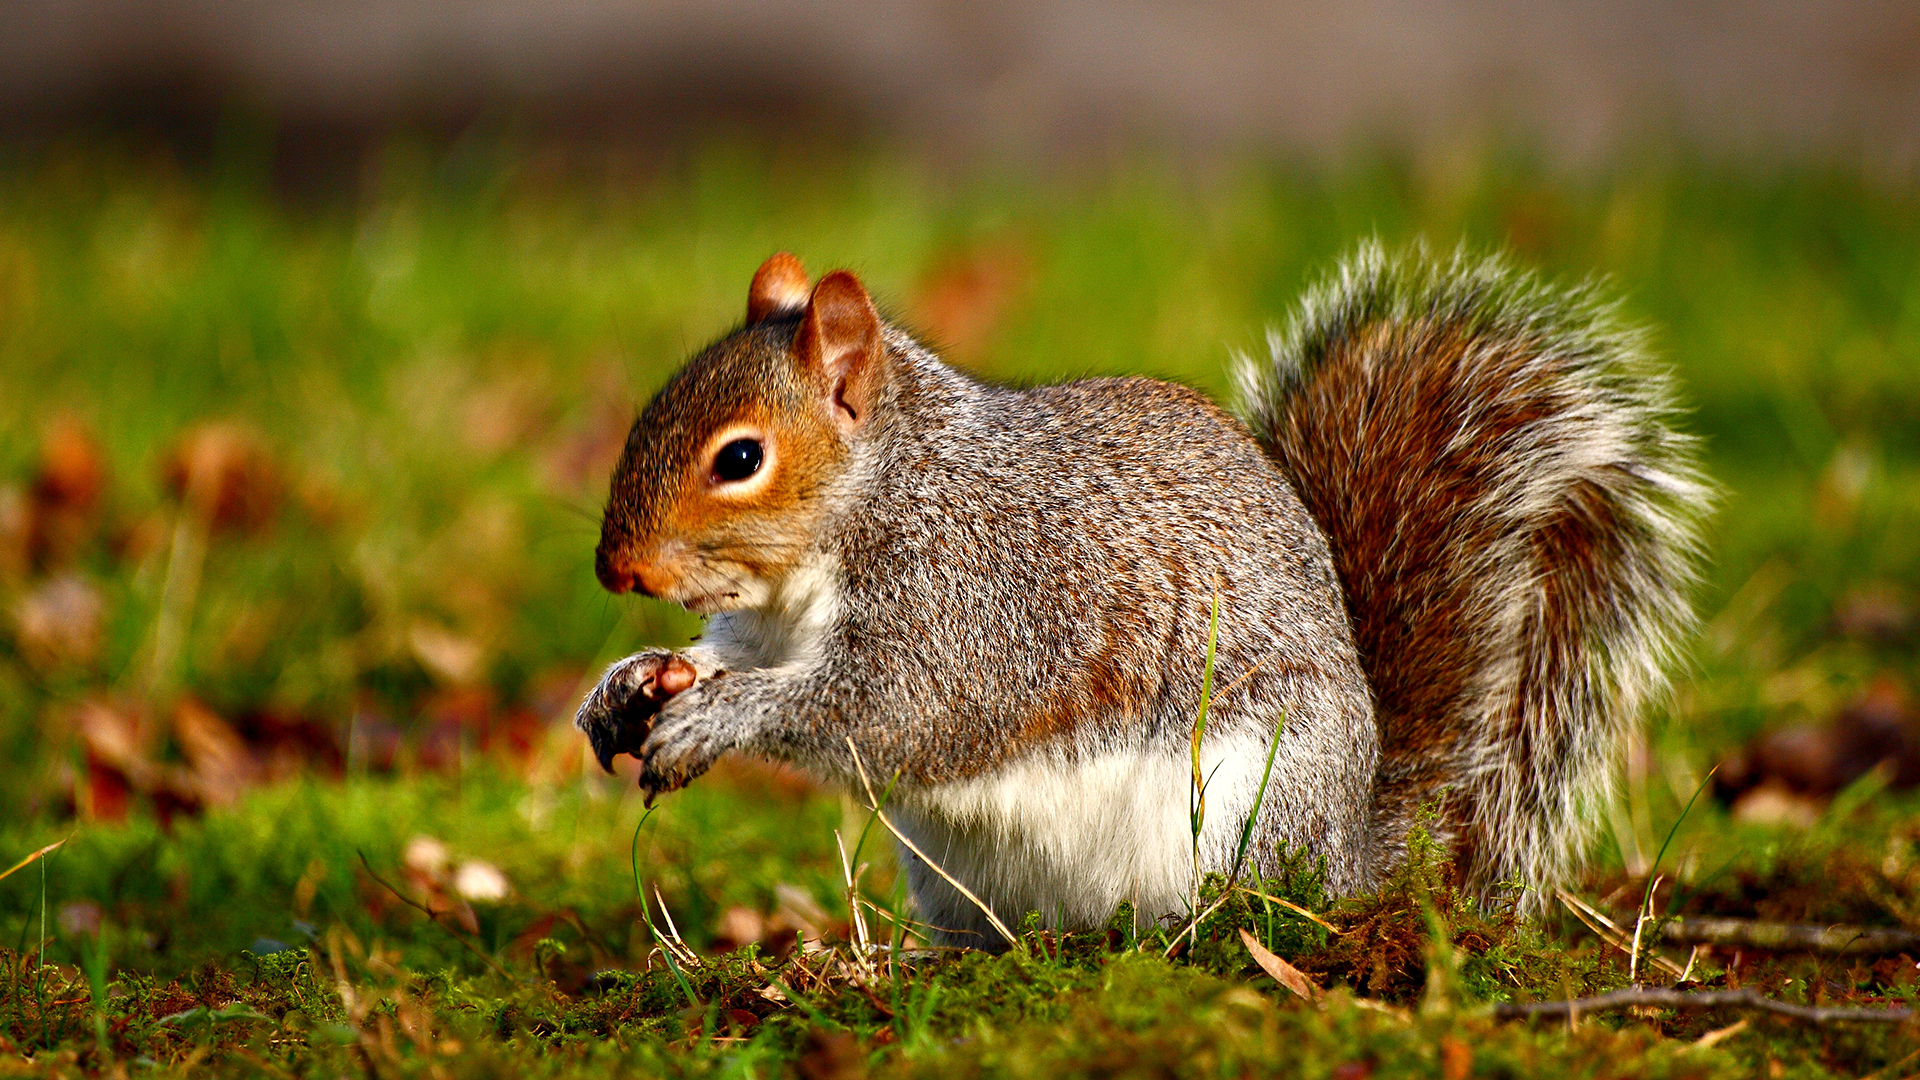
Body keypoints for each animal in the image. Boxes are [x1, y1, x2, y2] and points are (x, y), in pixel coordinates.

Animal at [575, 243, 1710, 948]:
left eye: (741, 458)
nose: (615, 572)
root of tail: (1351, 857)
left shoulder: (974, 597)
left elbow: (894, 707)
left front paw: (717, 720)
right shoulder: (770, 622)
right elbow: (733, 658)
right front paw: (631, 682)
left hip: (1241, 811)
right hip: (949, 867)